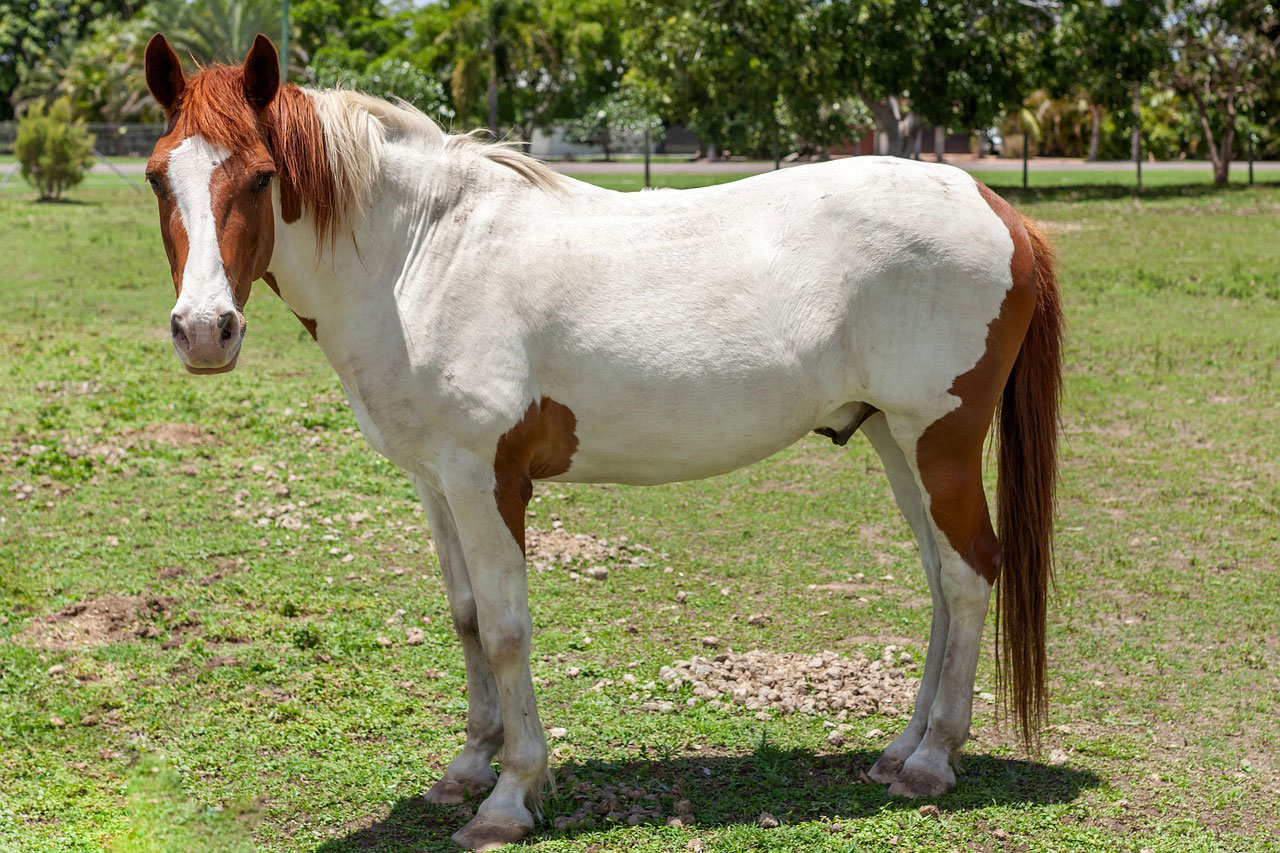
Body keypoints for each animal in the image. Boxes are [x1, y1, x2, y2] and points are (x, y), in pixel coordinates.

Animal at [142, 33, 1062, 851]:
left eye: (261, 176)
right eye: (158, 177)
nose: (204, 331)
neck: (423, 255)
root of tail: (998, 209)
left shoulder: (488, 482)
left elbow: (507, 629)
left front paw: (509, 798)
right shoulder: (436, 482)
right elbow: (466, 617)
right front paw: (467, 766)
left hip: (939, 439)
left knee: (969, 572)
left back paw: (933, 760)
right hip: (894, 441)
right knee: (941, 578)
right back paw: (902, 749)